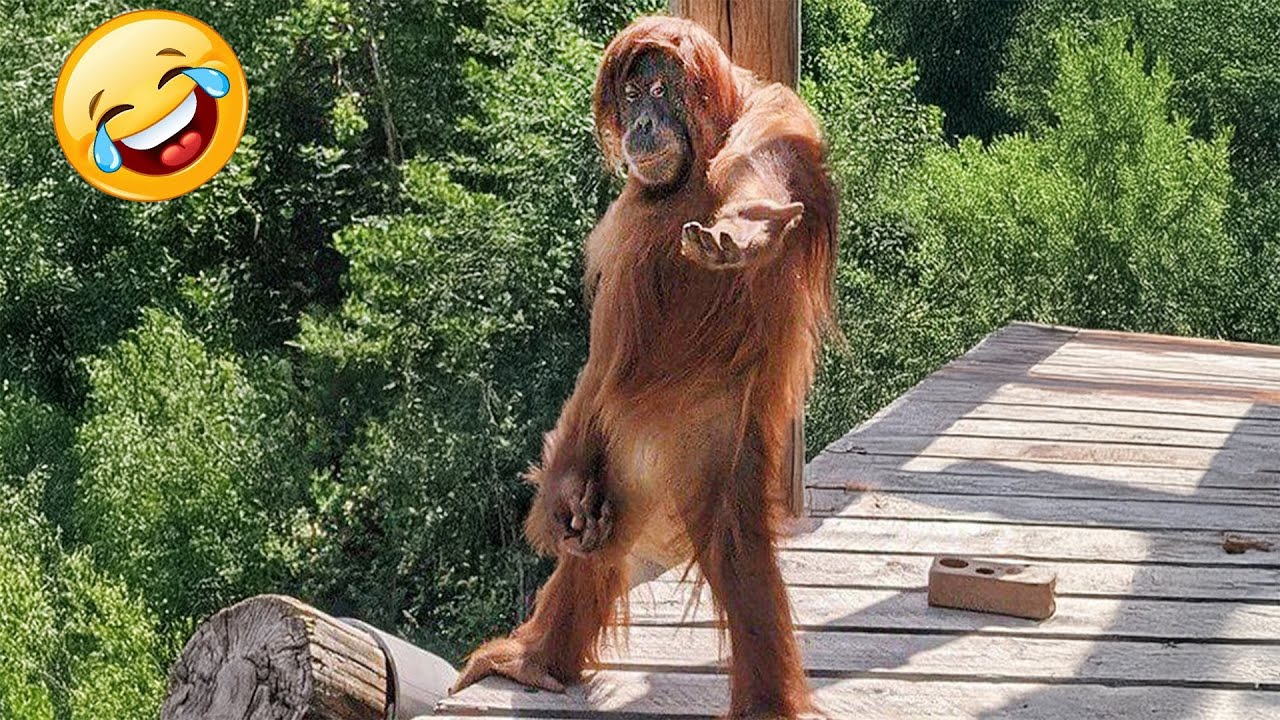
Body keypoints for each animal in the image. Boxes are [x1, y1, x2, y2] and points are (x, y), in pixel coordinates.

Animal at [452, 16, 837, 718]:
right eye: (631, 97)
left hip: (717, 435)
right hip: (615, 449)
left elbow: (762, 181)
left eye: (661, 90)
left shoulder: (777, 123)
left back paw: (765, 702)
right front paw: (558, 498)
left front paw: (747, 226)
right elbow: (603, 350)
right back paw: (536, 661)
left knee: (735, 547)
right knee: (595, 532)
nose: (642, 122)